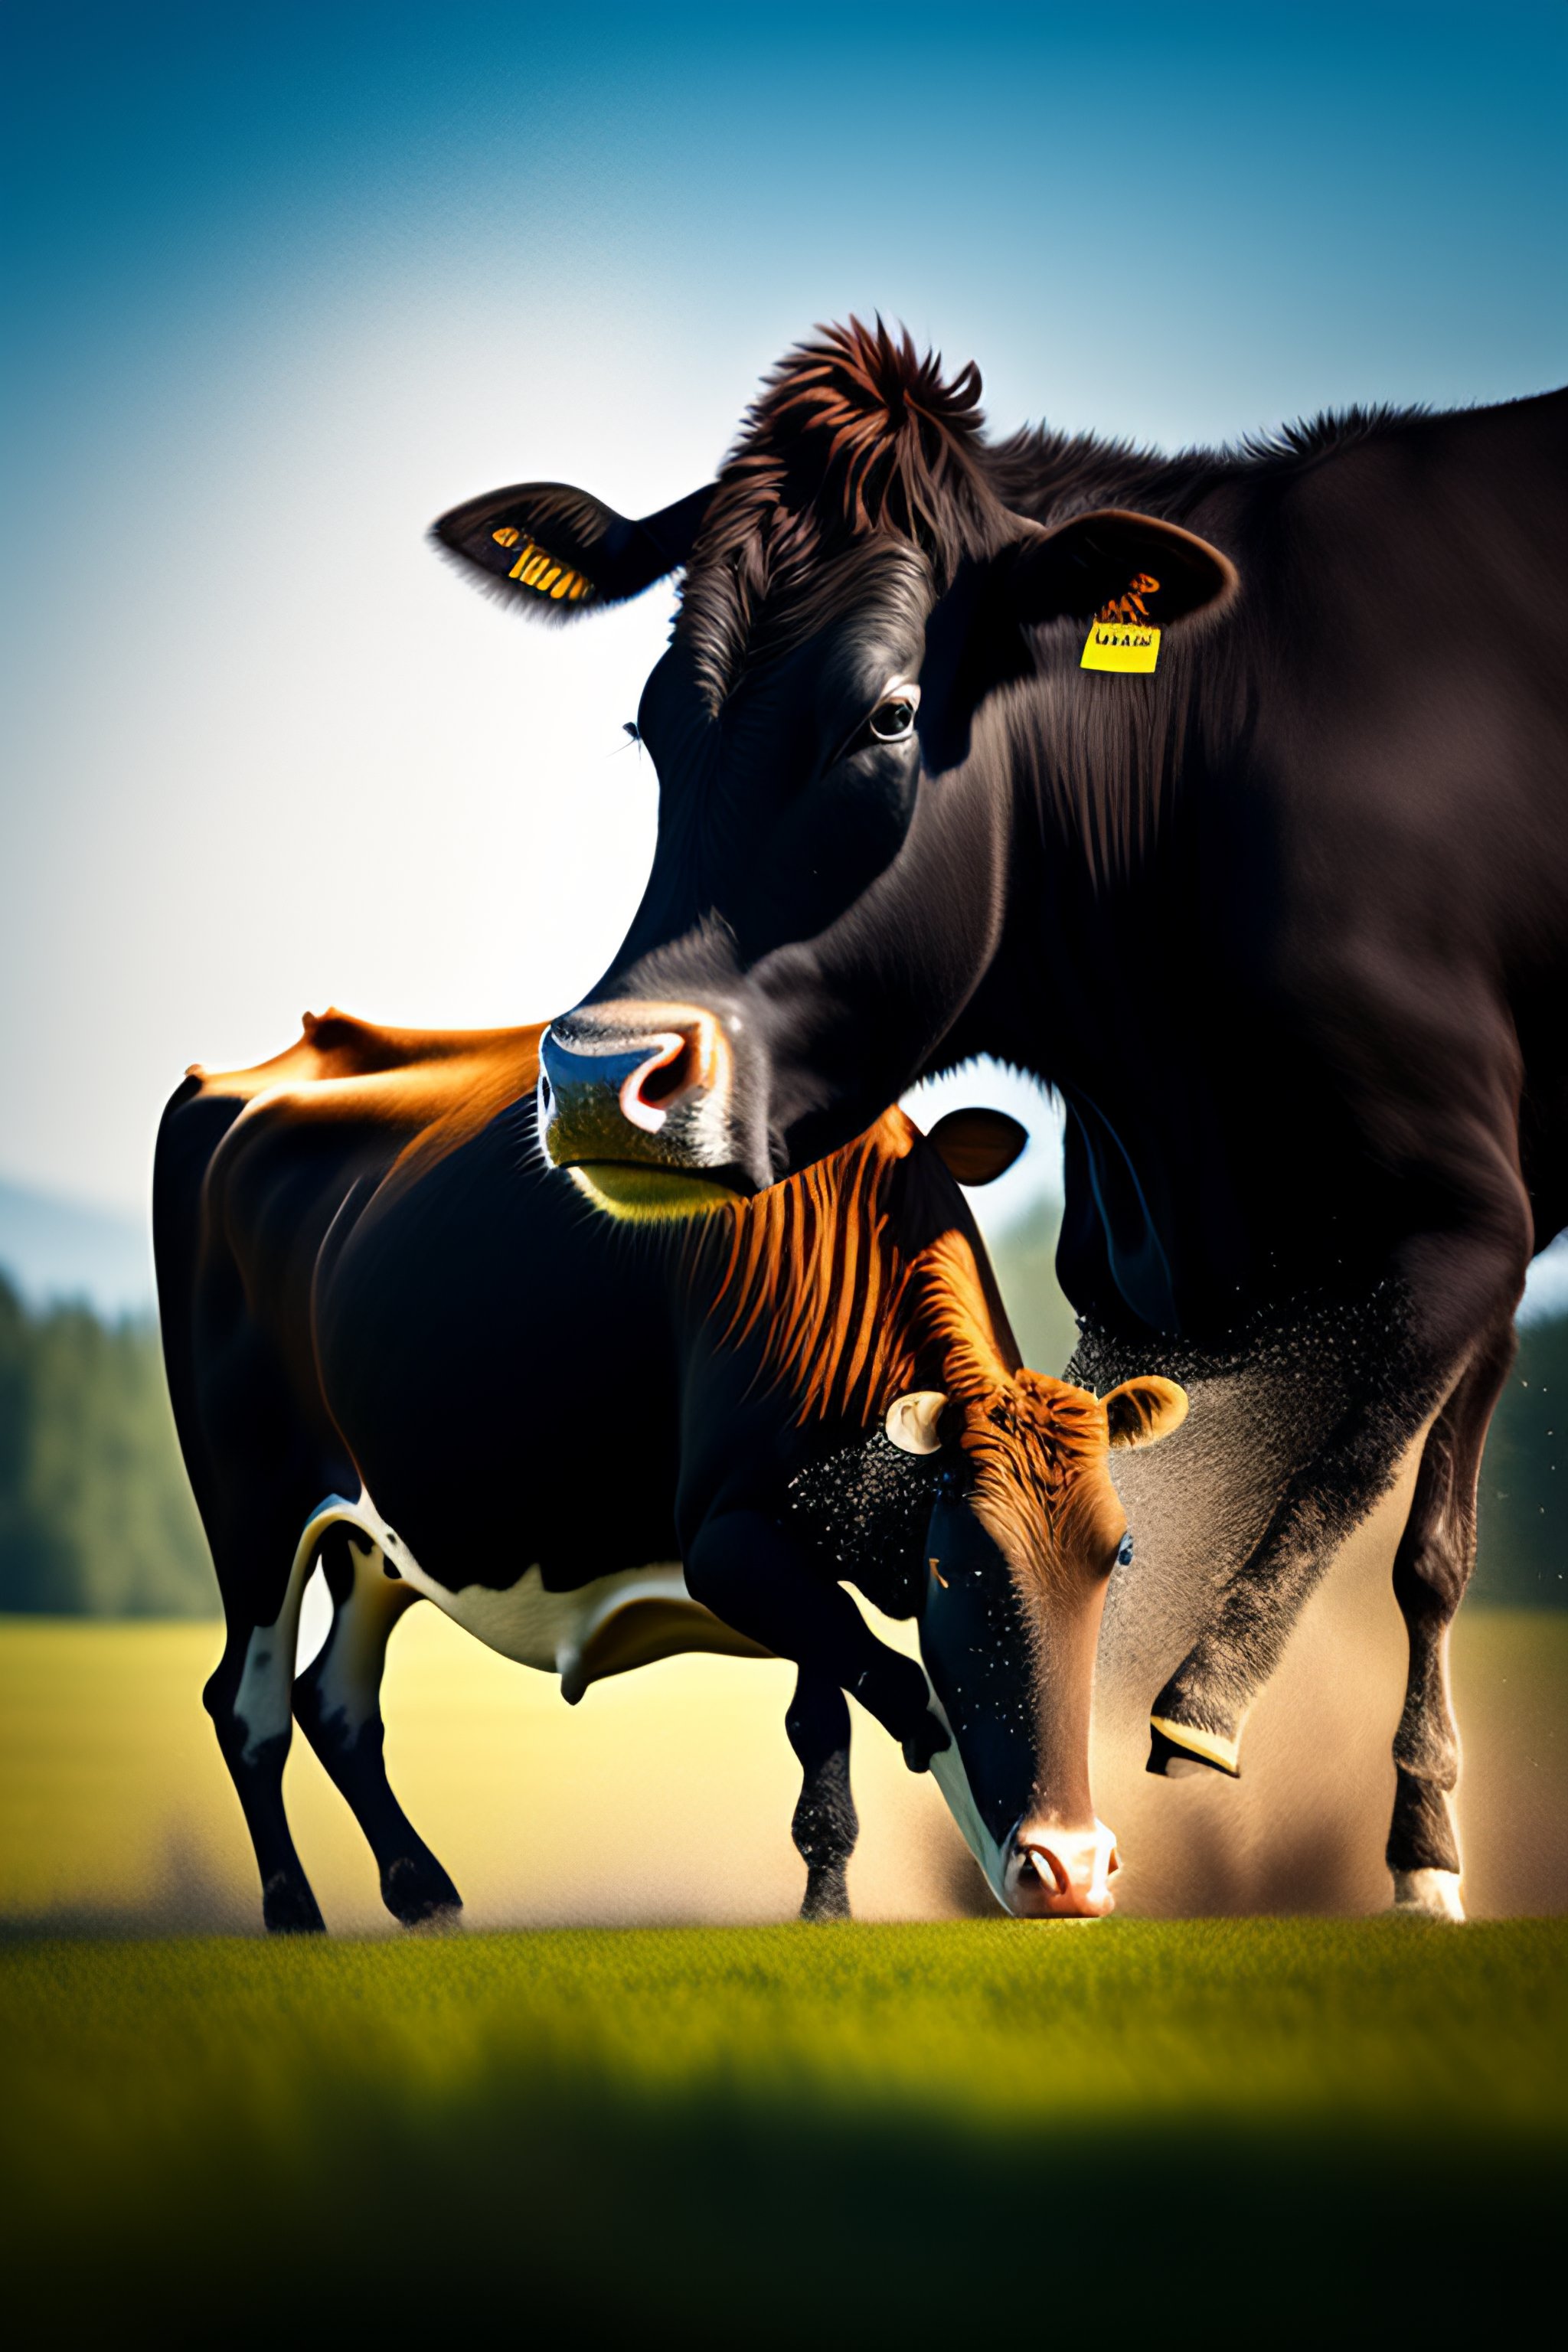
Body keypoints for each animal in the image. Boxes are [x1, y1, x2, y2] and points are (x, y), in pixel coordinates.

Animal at [153, 1009, 1187, 1931]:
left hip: (377, 1529)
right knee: (247, 1706)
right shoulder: (729, 1542)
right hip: (251, 1497)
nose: (1073, 1867)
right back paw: (295, 1915)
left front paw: (826, 1910)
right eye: (948, 1566)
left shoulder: (795, 1549)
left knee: (334, 1701)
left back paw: (424, 1895)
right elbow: (898, 1686)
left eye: (1118, 1558)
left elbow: (823, 1722)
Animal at [433, 318, 1568, 1921]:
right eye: (651, 722)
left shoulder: (1477, 1220)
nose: (601, 1075)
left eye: (890, 712)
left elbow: (1381, 1497)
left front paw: (1209, 1717)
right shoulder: (1127, 1276)